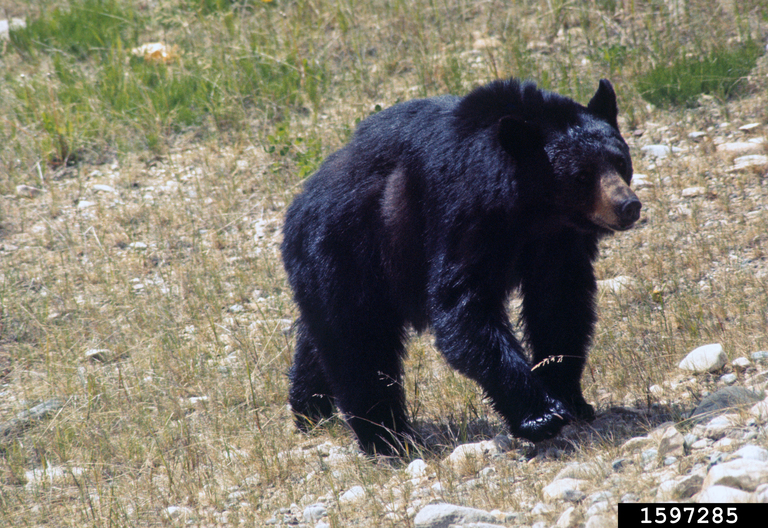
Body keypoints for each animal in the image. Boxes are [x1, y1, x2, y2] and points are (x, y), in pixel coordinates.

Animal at [281, 78, 641, 456]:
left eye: (620, 161)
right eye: (581, 175)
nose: (628, 205)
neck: (532, 210)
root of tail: (299, 201)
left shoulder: (560, 241)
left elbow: (560, 305)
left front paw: (571, 398)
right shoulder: (465, 213)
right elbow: (463, 306)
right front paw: (540, 415)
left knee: (324, 339)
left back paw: (309, 406)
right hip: (348, 251)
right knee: (360, 345)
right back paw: (386, 436)